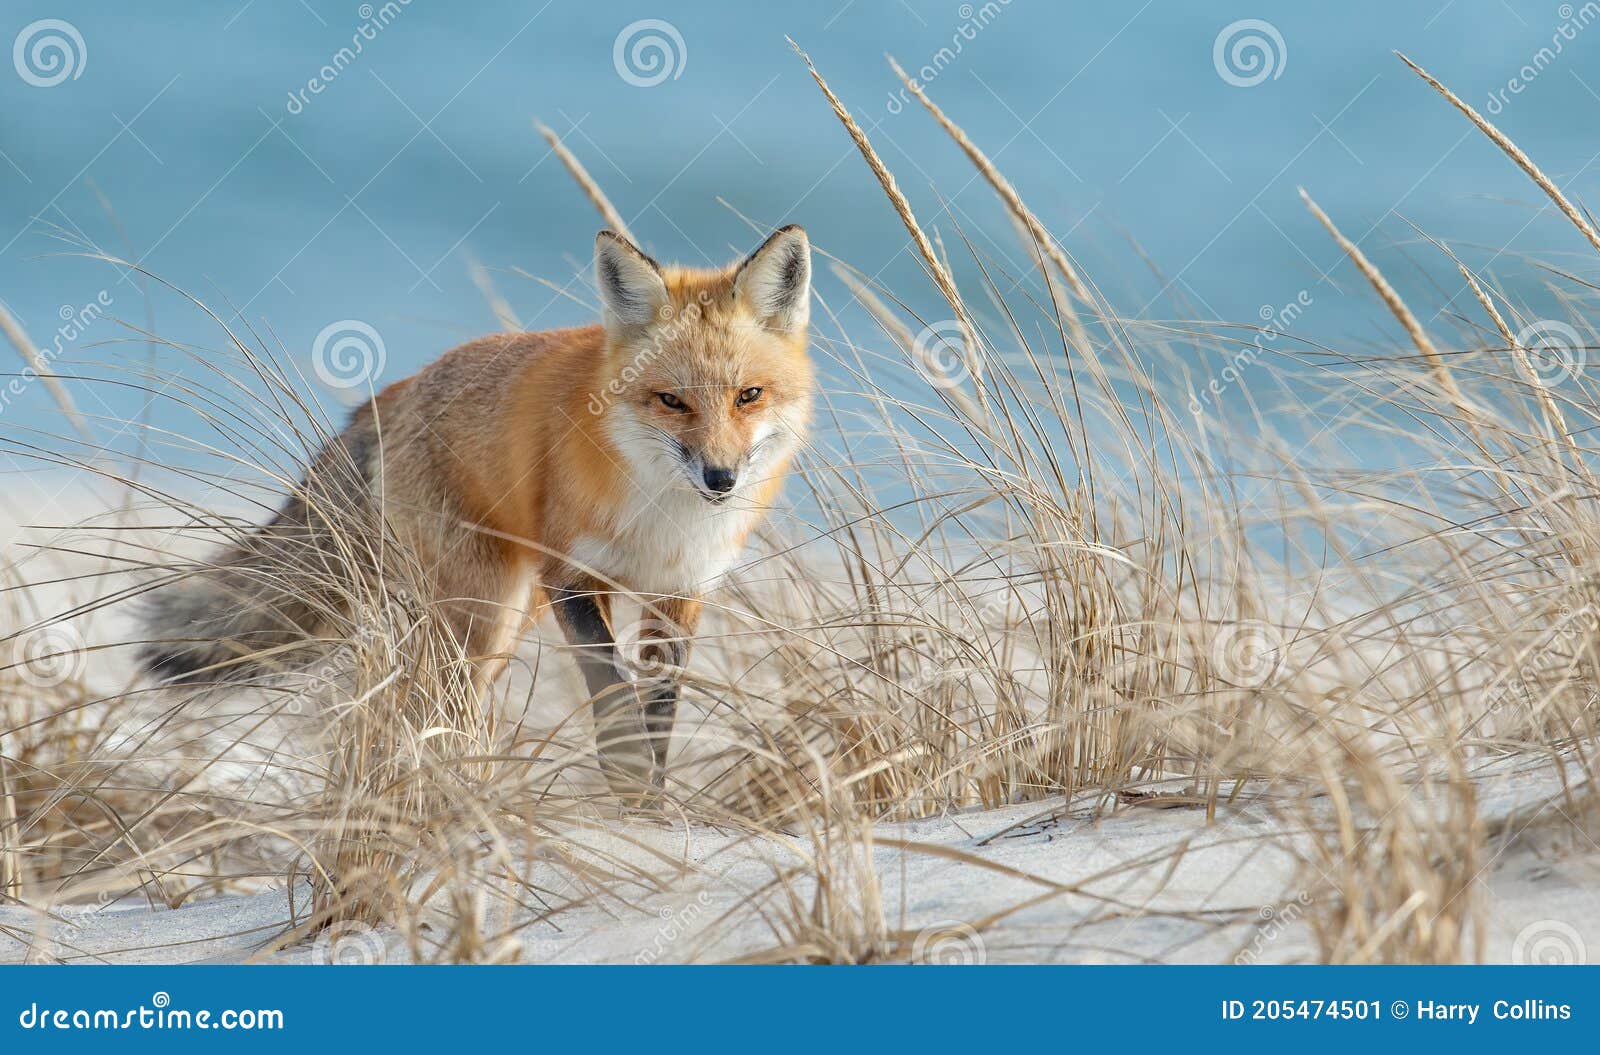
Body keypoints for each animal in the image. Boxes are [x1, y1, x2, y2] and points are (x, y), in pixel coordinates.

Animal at [139, 225, 814, 804]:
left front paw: (650, 807)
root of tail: (397, 390)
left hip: (512, 612)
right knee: (428, 710)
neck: (663, 519)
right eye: (671, 401)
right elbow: (613, 693)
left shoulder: (680, 592)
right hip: (483, 614)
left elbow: (659, 716)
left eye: (749, 396)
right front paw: (626, 777)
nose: (720, 479)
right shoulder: (569, 577)